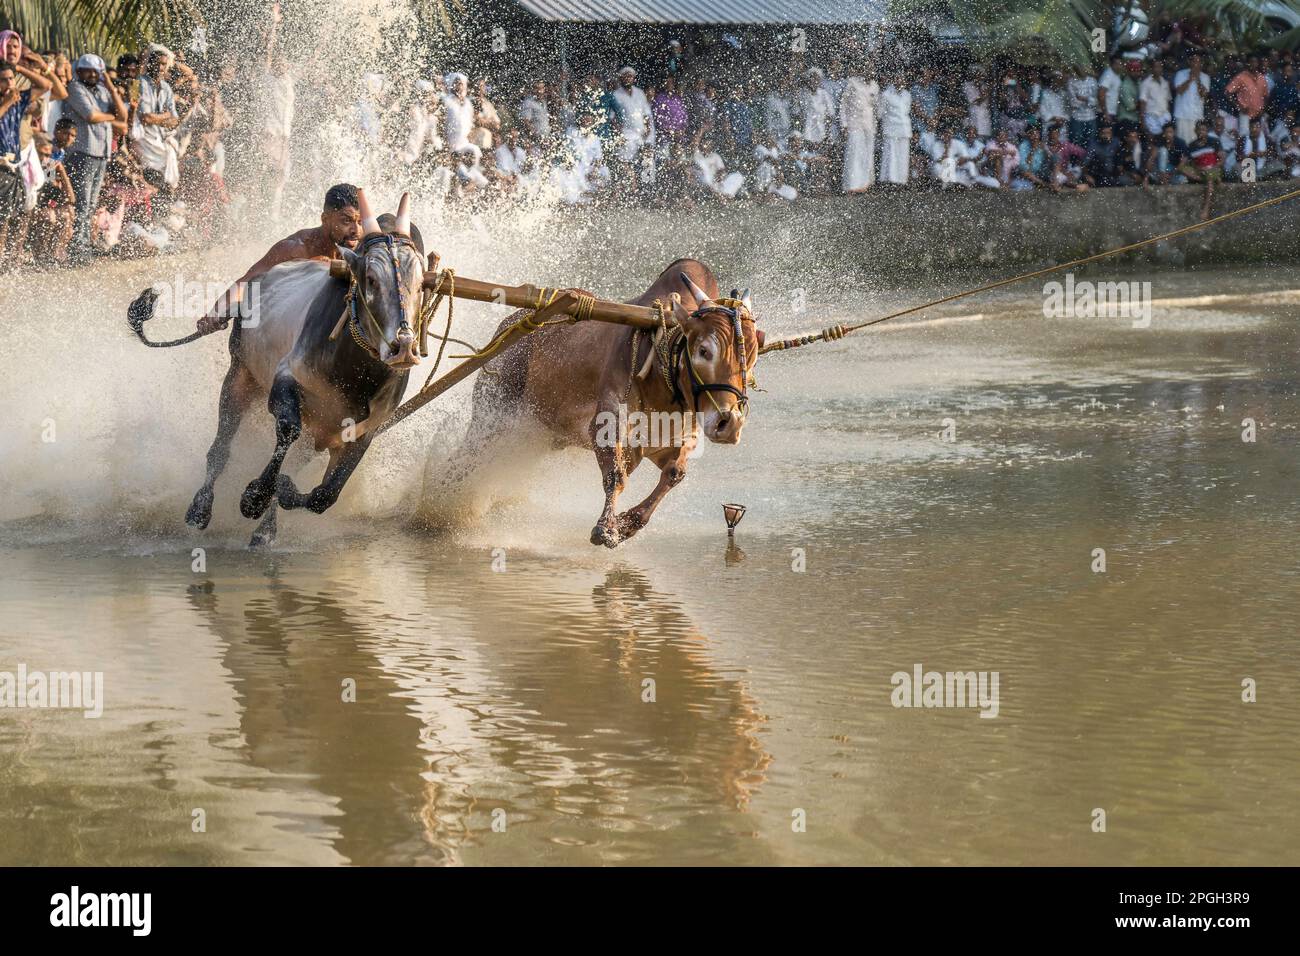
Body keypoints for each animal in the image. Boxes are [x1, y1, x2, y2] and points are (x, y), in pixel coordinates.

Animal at [128, 190, 429, 547]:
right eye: (370, 279)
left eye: (422, 283)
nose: (403, 347)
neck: (356, 373)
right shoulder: (286, 381)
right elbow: (287, 430)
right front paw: (253, 497)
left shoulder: (361, 430)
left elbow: (324, 496)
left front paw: (279, 493)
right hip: (240, 376)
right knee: (220, 450)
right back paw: (200, 508)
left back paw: (266, 529)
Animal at [445, 258, 761, 547]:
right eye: (704, 350)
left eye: (753, 356)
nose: (729, 424)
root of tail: (513, 322)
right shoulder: (607, 423)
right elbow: (616, 477)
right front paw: (606, 529)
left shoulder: (667, 442)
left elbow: (674, 474)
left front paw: (627, 525)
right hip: (493, 409)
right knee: (467, 454)